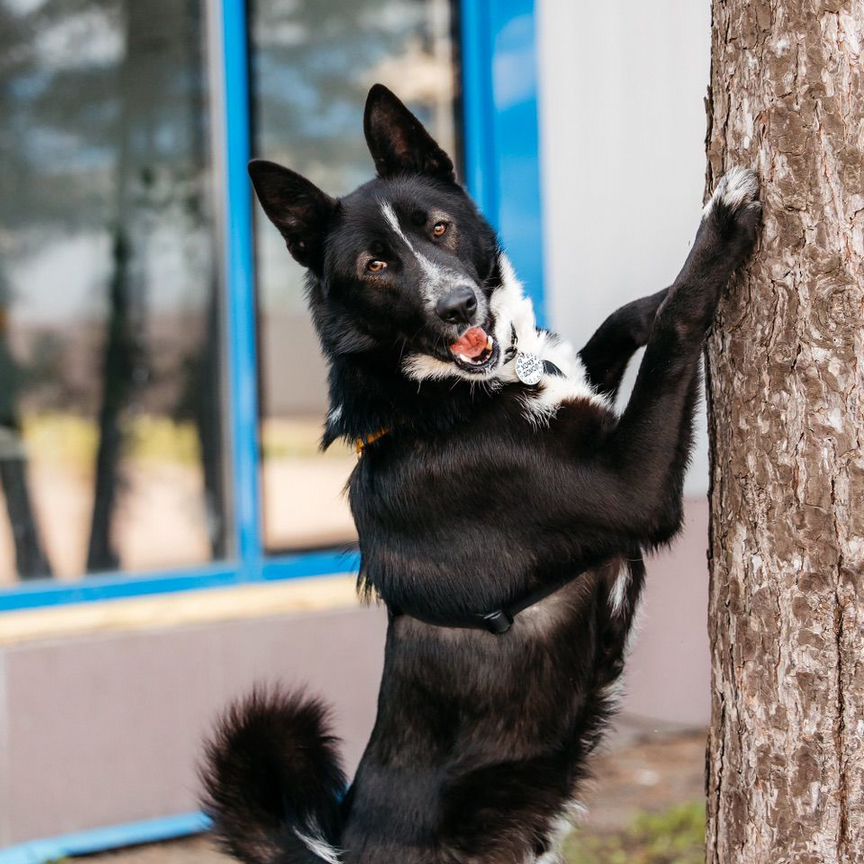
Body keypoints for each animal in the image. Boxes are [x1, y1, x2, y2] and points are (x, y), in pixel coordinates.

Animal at [199, 86, 760, 864]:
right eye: (375, 266)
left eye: (439, 227)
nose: (459, 305)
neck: (439, 398)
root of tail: (338, 848)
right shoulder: (633, 486)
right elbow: (676, 328)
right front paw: (722, 223)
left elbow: (617, 325)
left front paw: (659, 283)